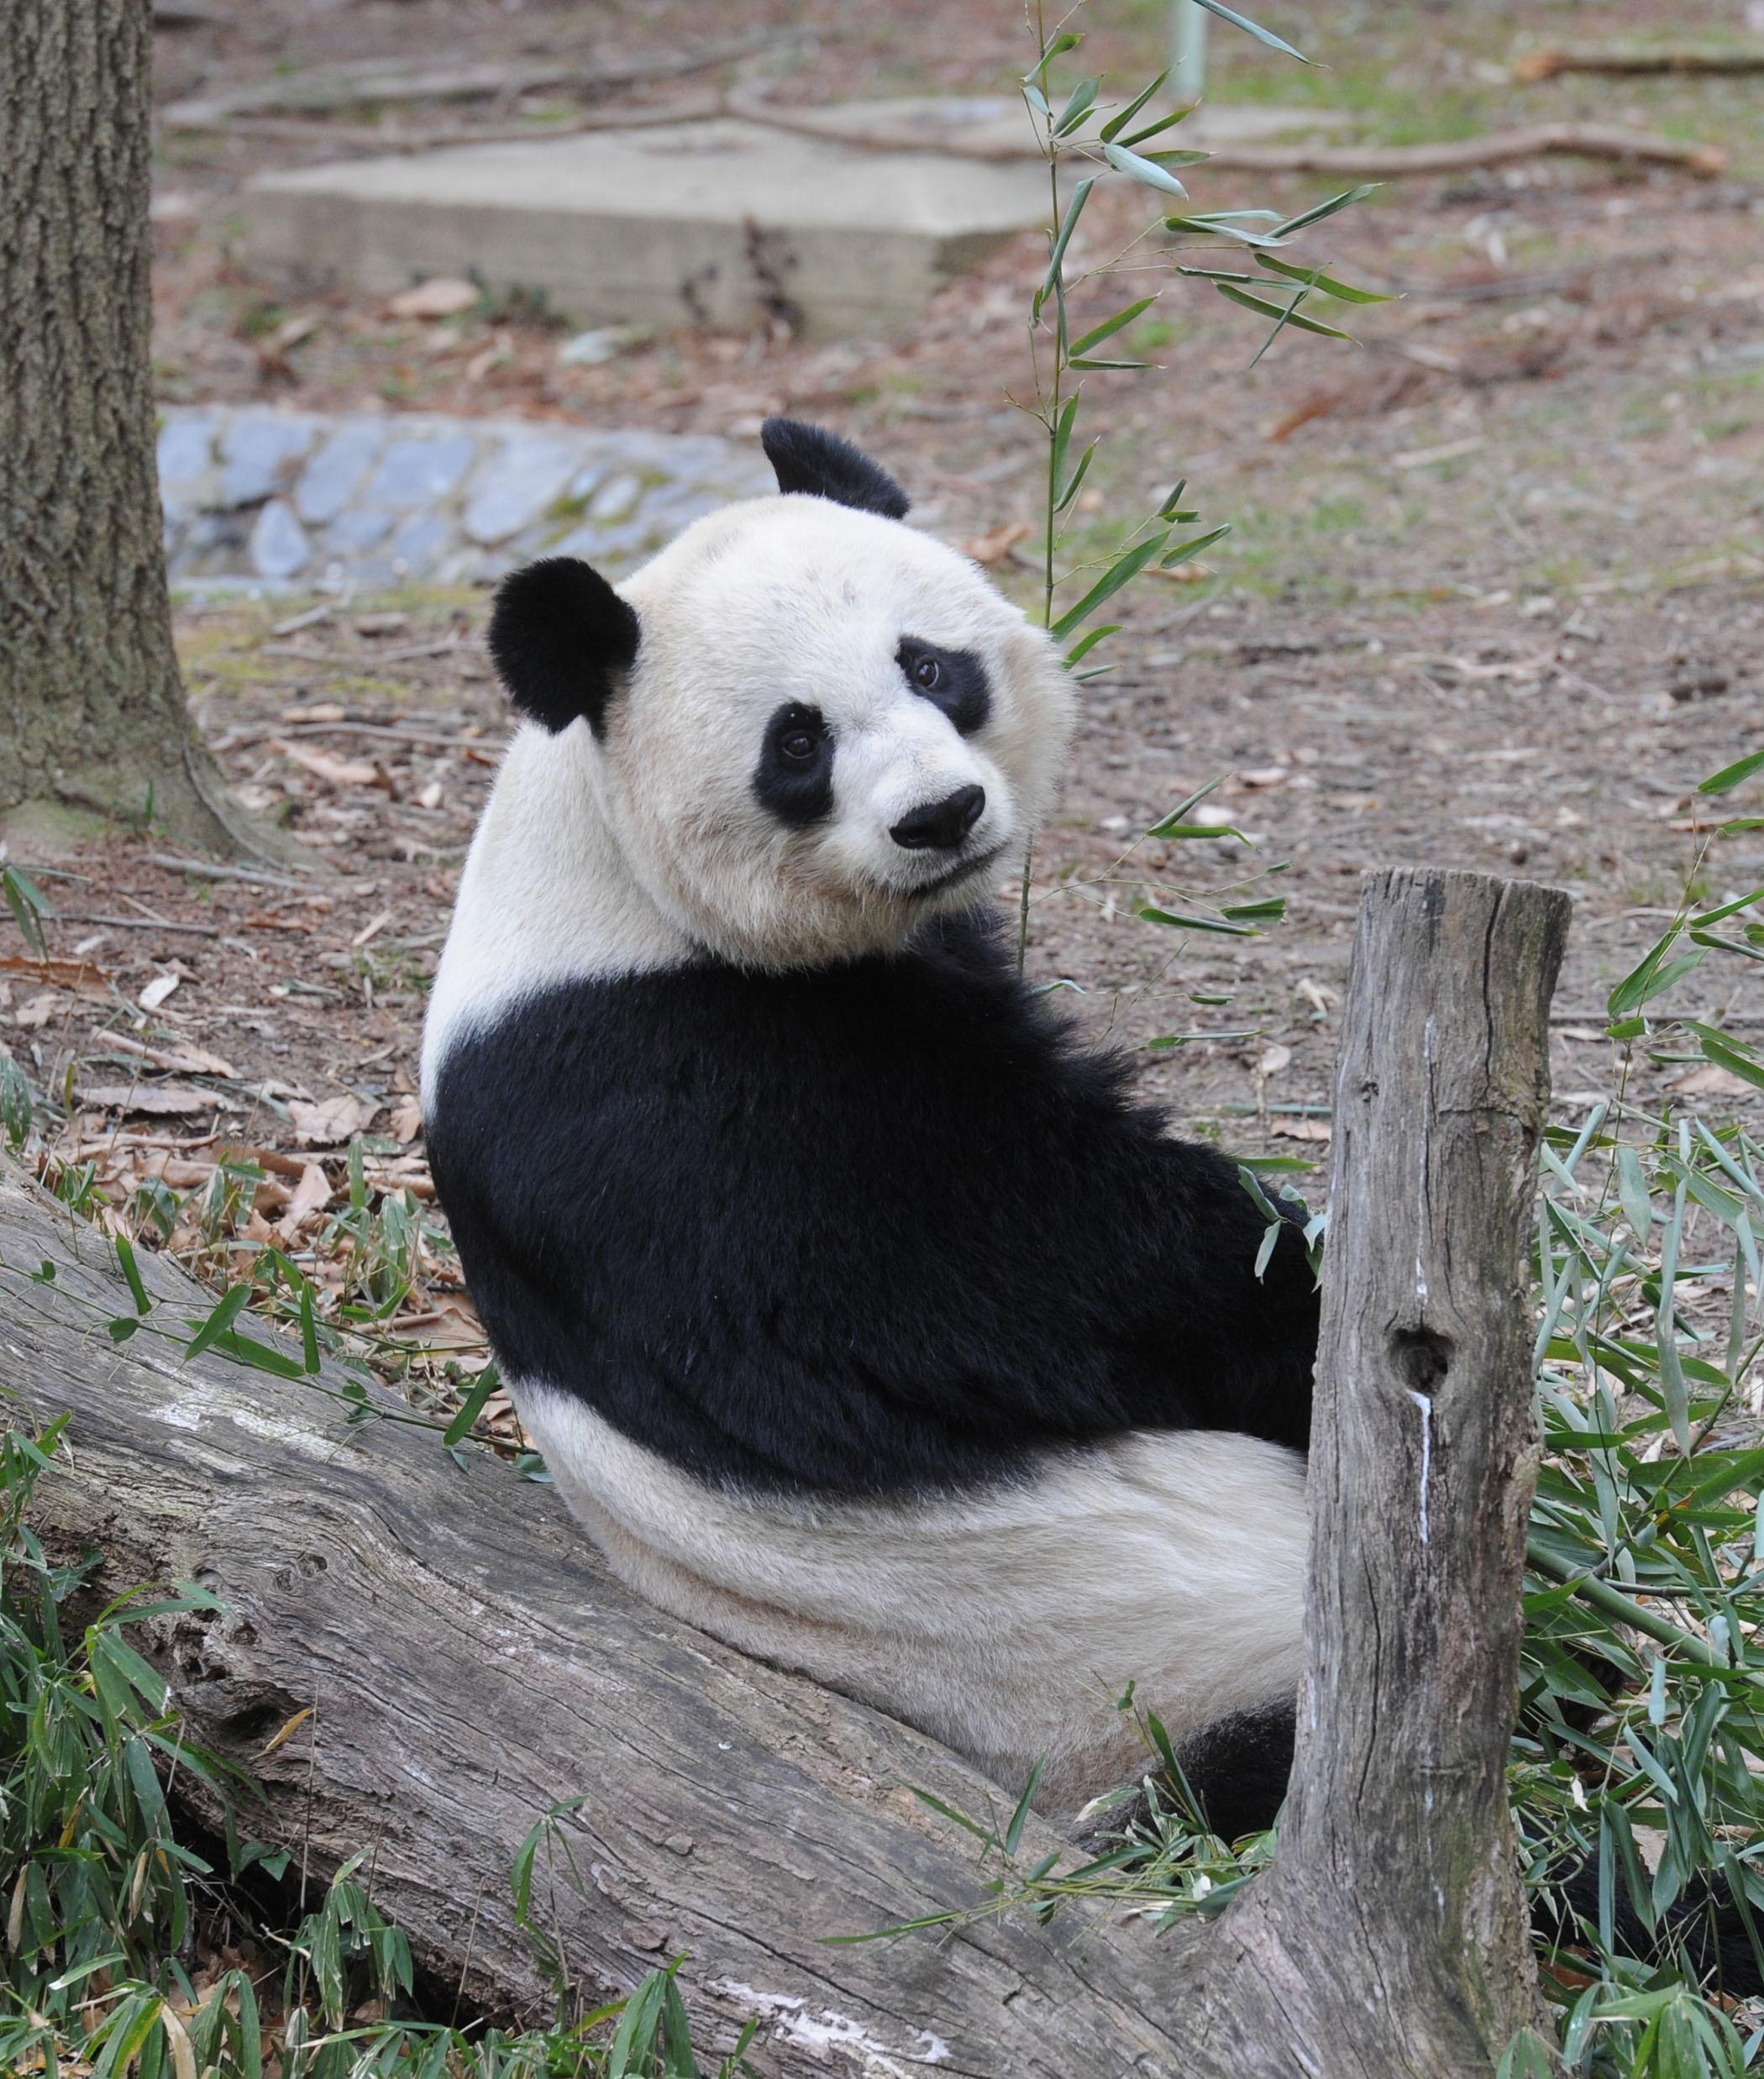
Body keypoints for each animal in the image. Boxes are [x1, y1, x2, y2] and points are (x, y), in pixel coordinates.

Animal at [421, 416, 1322, 1830]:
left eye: (930, 664)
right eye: (797, 742)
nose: (941, 815)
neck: (604, 881)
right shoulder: (676, 1095)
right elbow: (1028, 1279)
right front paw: (1296, 1292)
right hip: (1167, 1664)